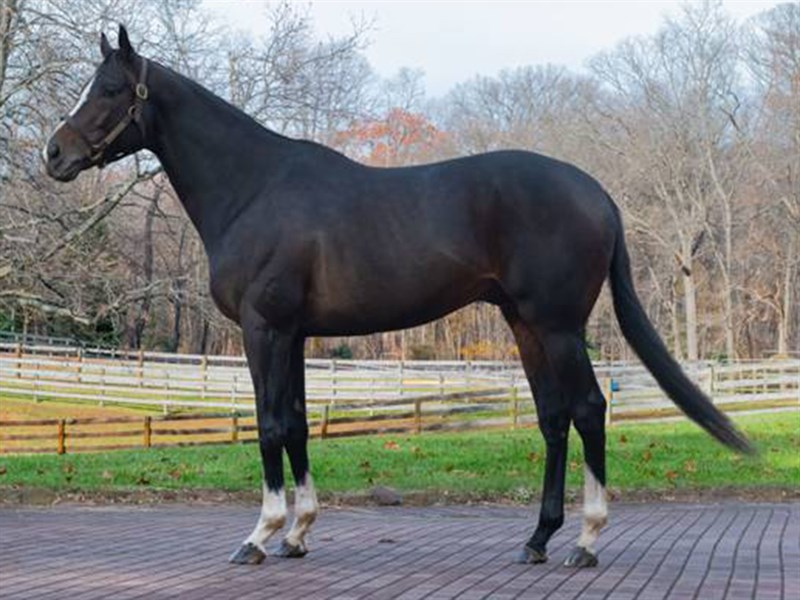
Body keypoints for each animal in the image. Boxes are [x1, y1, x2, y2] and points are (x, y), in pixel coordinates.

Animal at [43, 26, 752, 569]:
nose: (55, 154)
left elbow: (269, 424)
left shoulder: (262, 328)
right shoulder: (294, 335)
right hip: (525, 325)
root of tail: (597, 194)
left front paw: (261, 535)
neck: (254, 188)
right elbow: (297, 421)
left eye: (110, 90)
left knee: (588, 409)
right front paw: (299, 532)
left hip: (557, 327)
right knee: (553, 419)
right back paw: (537, 540)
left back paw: (586, 540)